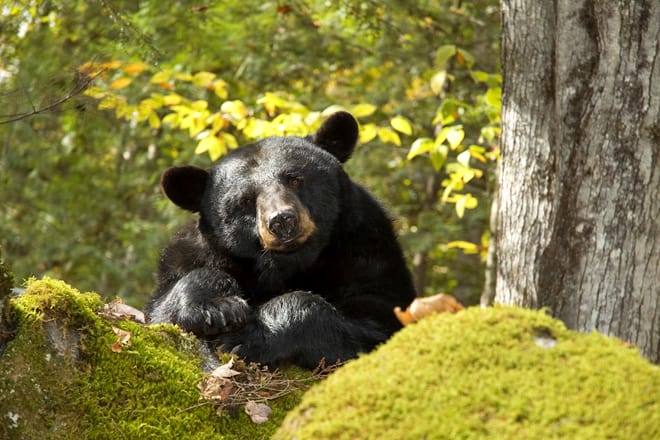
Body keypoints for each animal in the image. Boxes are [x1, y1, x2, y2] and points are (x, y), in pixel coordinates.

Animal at [146, 111, 416, 369]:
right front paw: (218, 308)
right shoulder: (193, 255)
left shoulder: (366, 253)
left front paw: (247, 337)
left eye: (295, 179)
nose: (282, 220)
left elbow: (378, 319)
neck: (286, 265)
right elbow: (163, 307)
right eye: (246, 200)